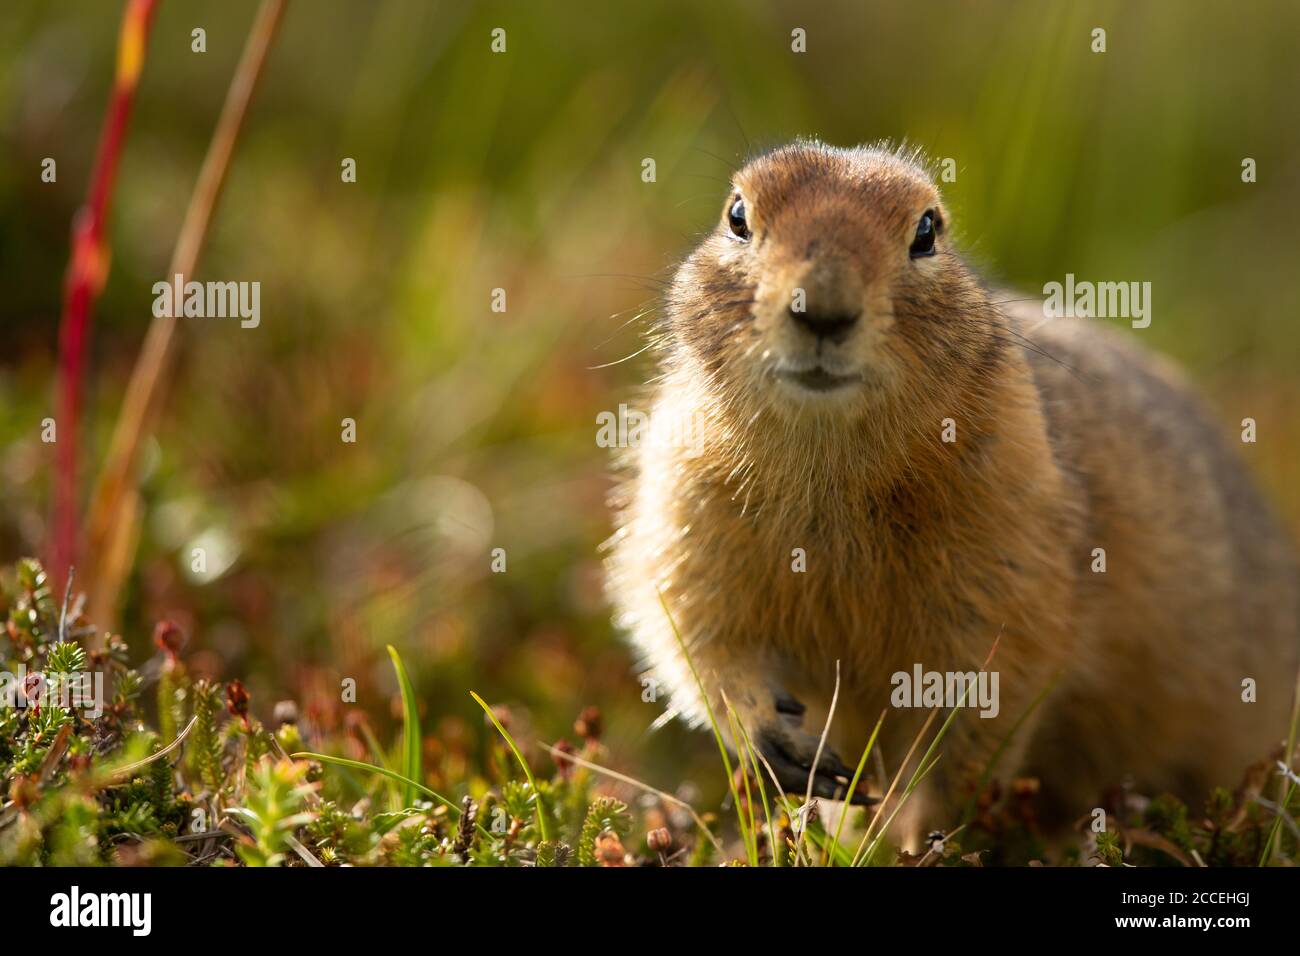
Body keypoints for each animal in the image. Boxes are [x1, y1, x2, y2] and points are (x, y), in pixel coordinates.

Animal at [605, 140, 1300, 832]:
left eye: (927, 231)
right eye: (738, 216)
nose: (822, 309)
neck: (830, 461)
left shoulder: (1011, 548)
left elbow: (975, 713)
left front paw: (908, 837)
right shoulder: (682, 499)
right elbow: (692, 629)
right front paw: (777, 741)